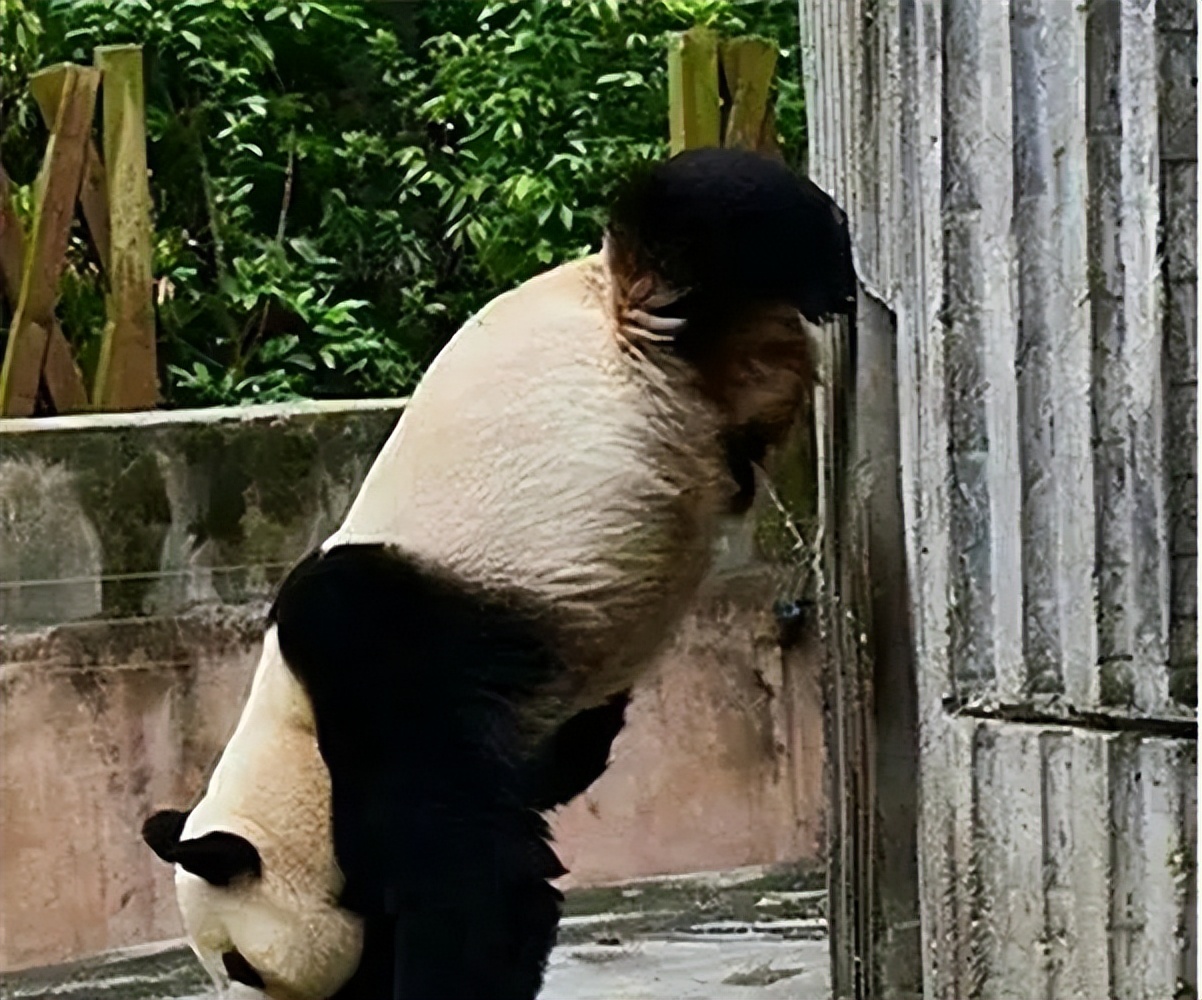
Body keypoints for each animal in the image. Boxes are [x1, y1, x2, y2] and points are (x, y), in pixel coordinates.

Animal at [141, 146, 855, 1000]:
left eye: (241, 965)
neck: (294, 737)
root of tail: (597, 284)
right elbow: (546, 776)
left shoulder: (377, 659)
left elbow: (476, 876)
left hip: (660, 301)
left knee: (705, 205)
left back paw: (834, 269)